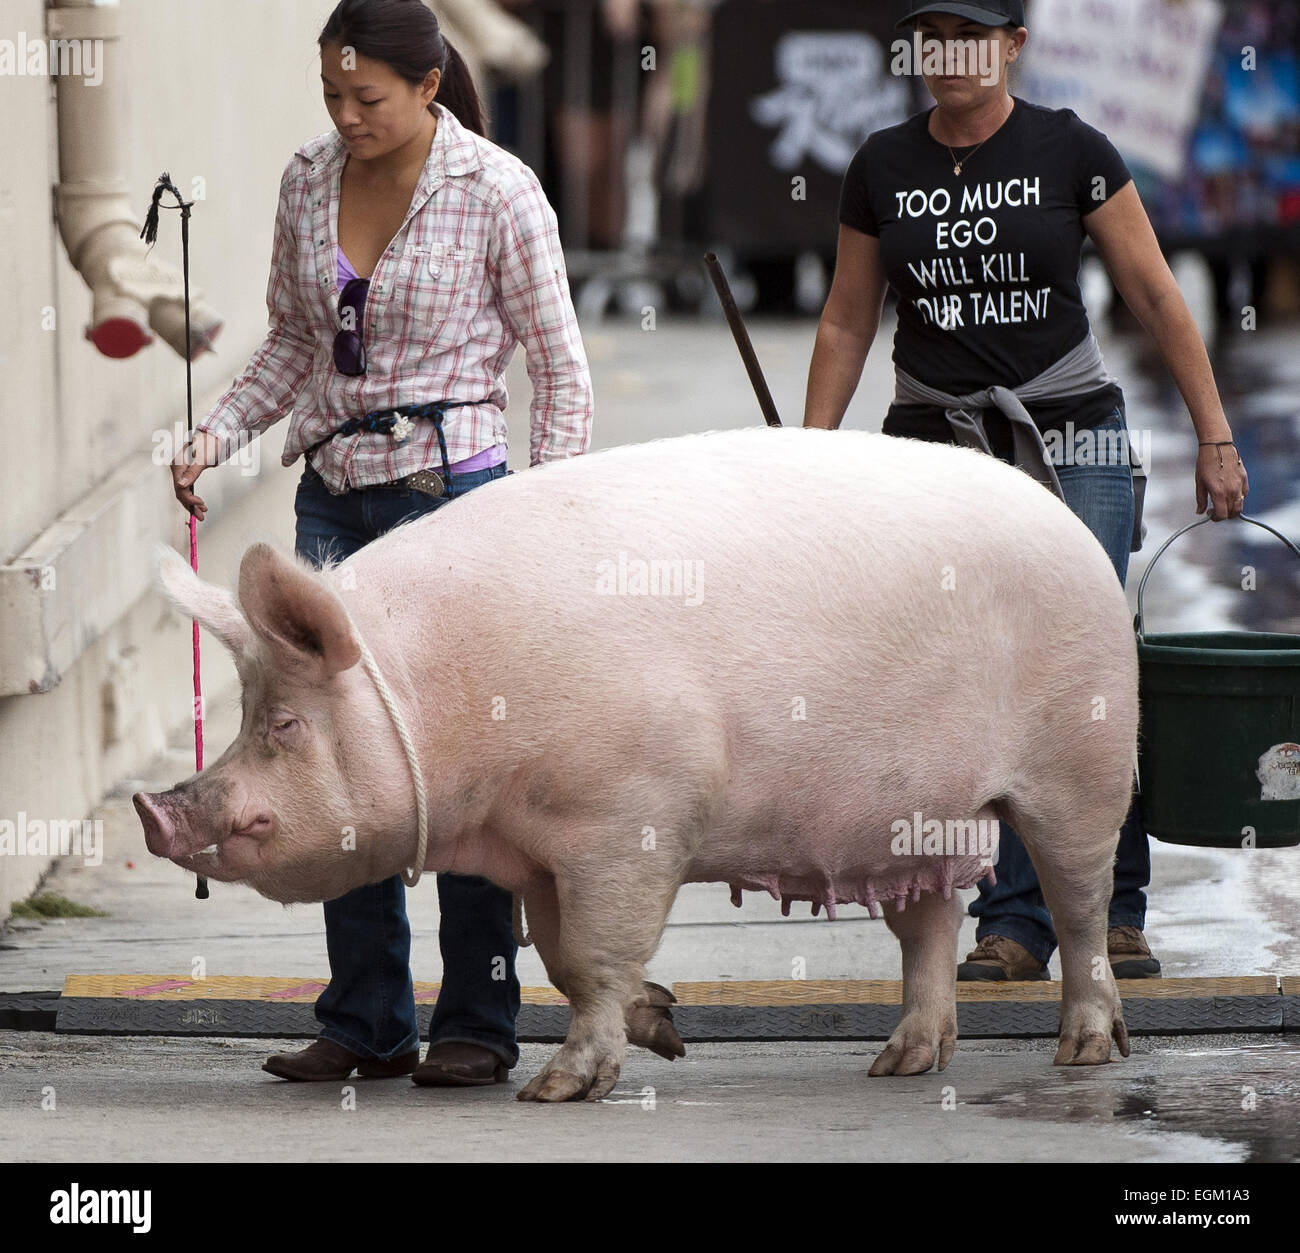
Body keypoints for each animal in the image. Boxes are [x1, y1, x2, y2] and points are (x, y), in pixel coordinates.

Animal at [135, 425, 1135, 1101]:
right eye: (247, 715)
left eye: (287, 724)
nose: (156, 809)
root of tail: (1063, 515)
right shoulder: (540, 847)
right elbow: (564, 961)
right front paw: (662, 1029)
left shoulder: (627, 820)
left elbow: (593, 952)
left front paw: (557, 1089)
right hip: (914, 817)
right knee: (928, 922)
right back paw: (897, 1064)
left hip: (1085, 763)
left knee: (1079, 903)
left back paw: (1085, 1050)